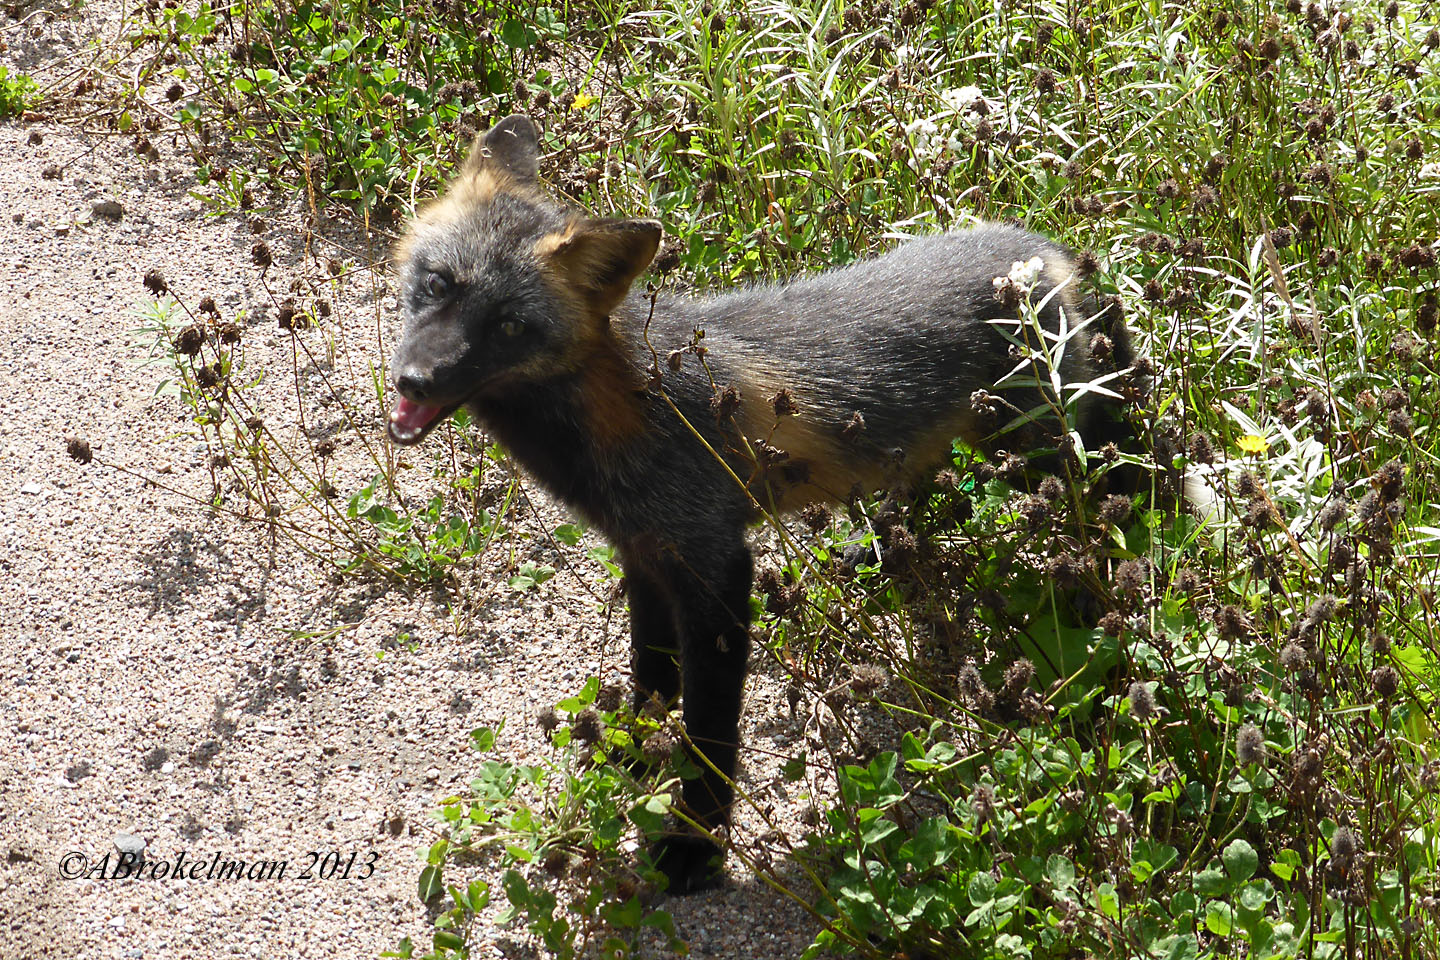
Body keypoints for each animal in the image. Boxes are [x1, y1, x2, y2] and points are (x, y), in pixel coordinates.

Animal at [386, 114, 1135, 892]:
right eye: (436, 284)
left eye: (509, 325)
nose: (413, 382)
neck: (620, 408)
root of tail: (1044, 249)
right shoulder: (646, 555)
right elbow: (652, 679)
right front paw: (635, 756)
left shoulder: (715, 567)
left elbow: (711, 726)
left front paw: (695, 843)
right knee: (917, 487)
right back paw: (871, 552)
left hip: (1046, 458)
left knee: (1109, 502)